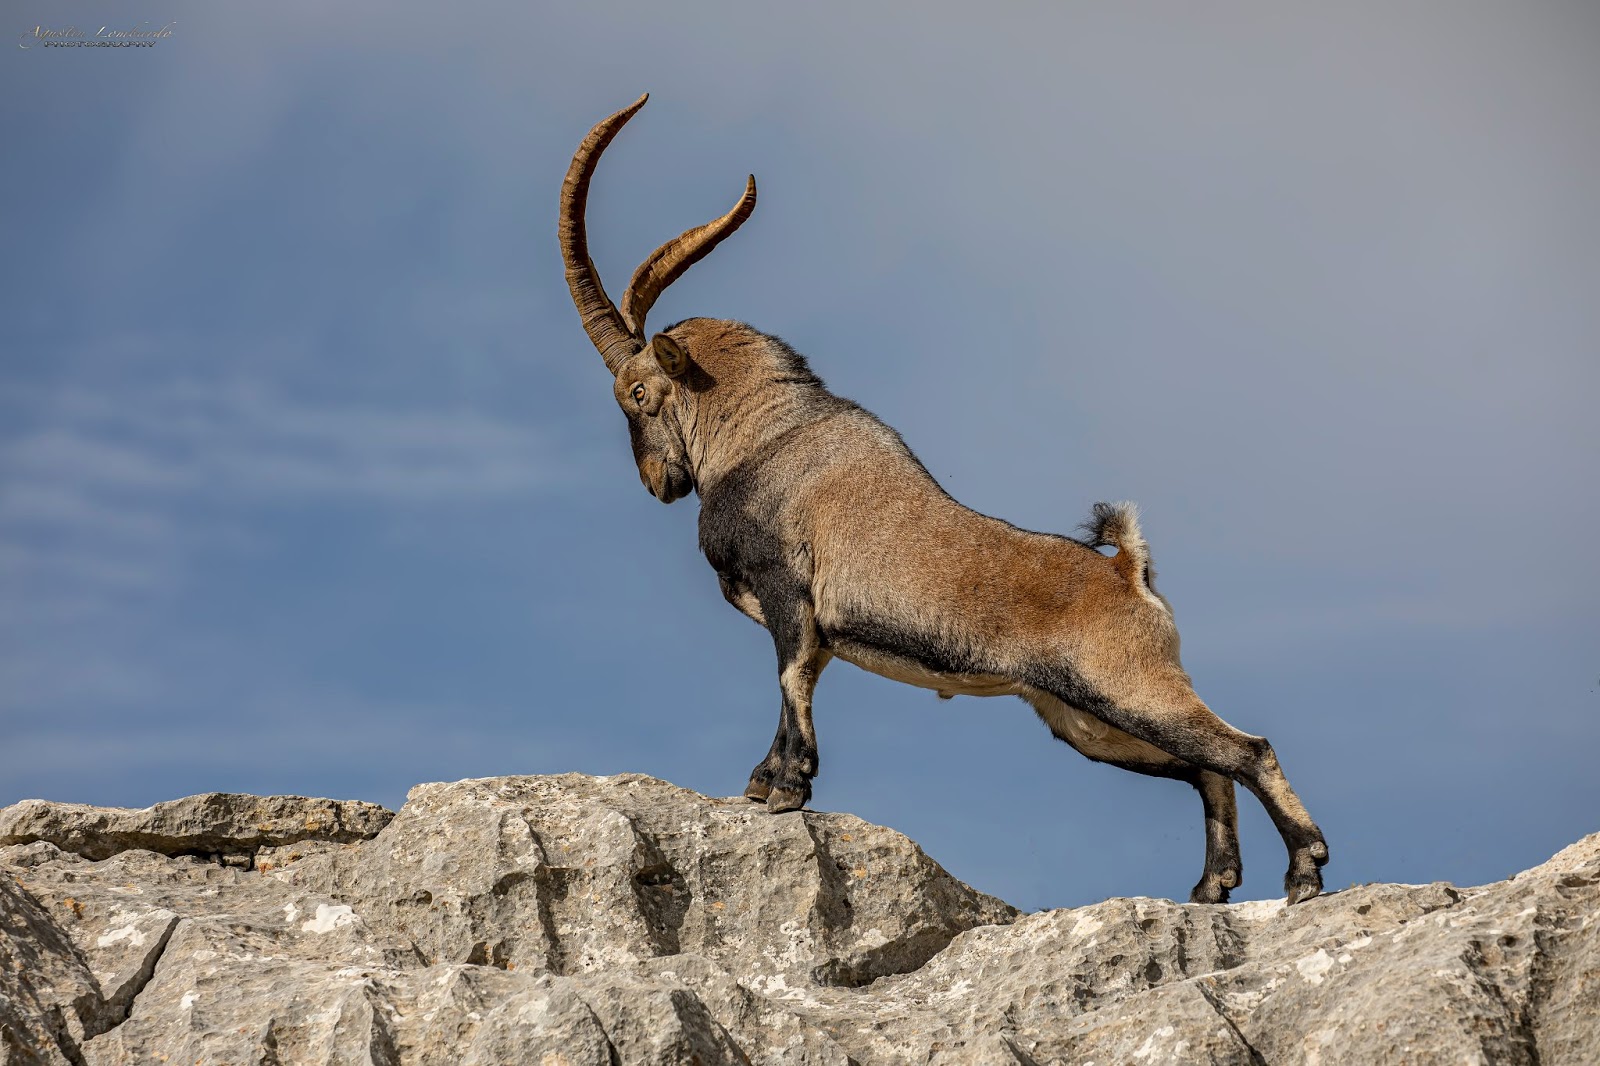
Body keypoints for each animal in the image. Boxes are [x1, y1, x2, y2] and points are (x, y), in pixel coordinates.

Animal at [557, 95, 1329, 904]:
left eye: (637, 393)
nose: (659, 482)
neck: (767, 436)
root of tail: (1128, 570)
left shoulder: (789, 594)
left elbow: (791, 677)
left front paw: (784, 786)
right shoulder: (809, 619)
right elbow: (798, 679)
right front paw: (770, 782)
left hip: (1127, 686)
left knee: (1246, 748)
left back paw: (1305, 870)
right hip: (1087, 720)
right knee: (1209, 765)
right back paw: (1213, 886)